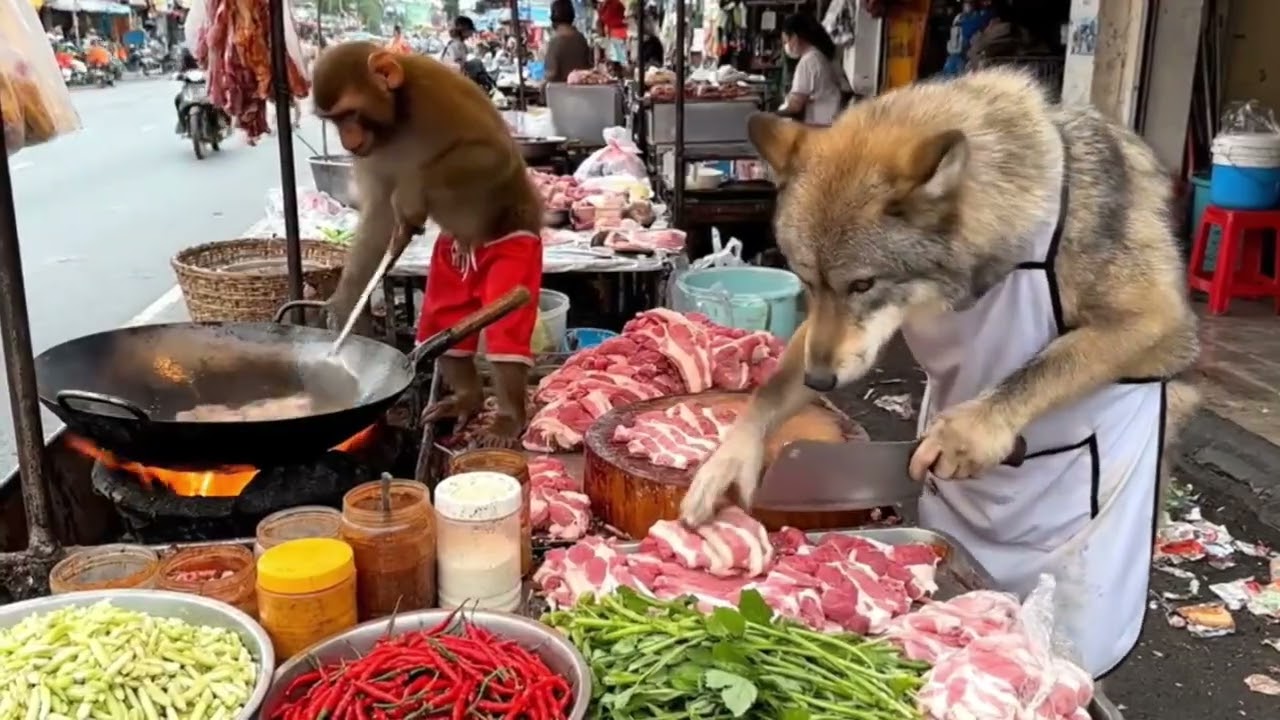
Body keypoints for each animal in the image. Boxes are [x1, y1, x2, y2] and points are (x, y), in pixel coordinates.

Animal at [311, 42, 544, 444]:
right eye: (335, 120)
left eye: (350, 114)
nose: (346, 139)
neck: (396, 118)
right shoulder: (373, 152)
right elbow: (379, 216)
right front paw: (345, 305)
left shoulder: (433, 99)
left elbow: (494, 153)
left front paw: (410, 193)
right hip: (451, 263)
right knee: (440, 322)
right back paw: (467, 399)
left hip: (516, 244)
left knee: (505, 329)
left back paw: (509, 417)